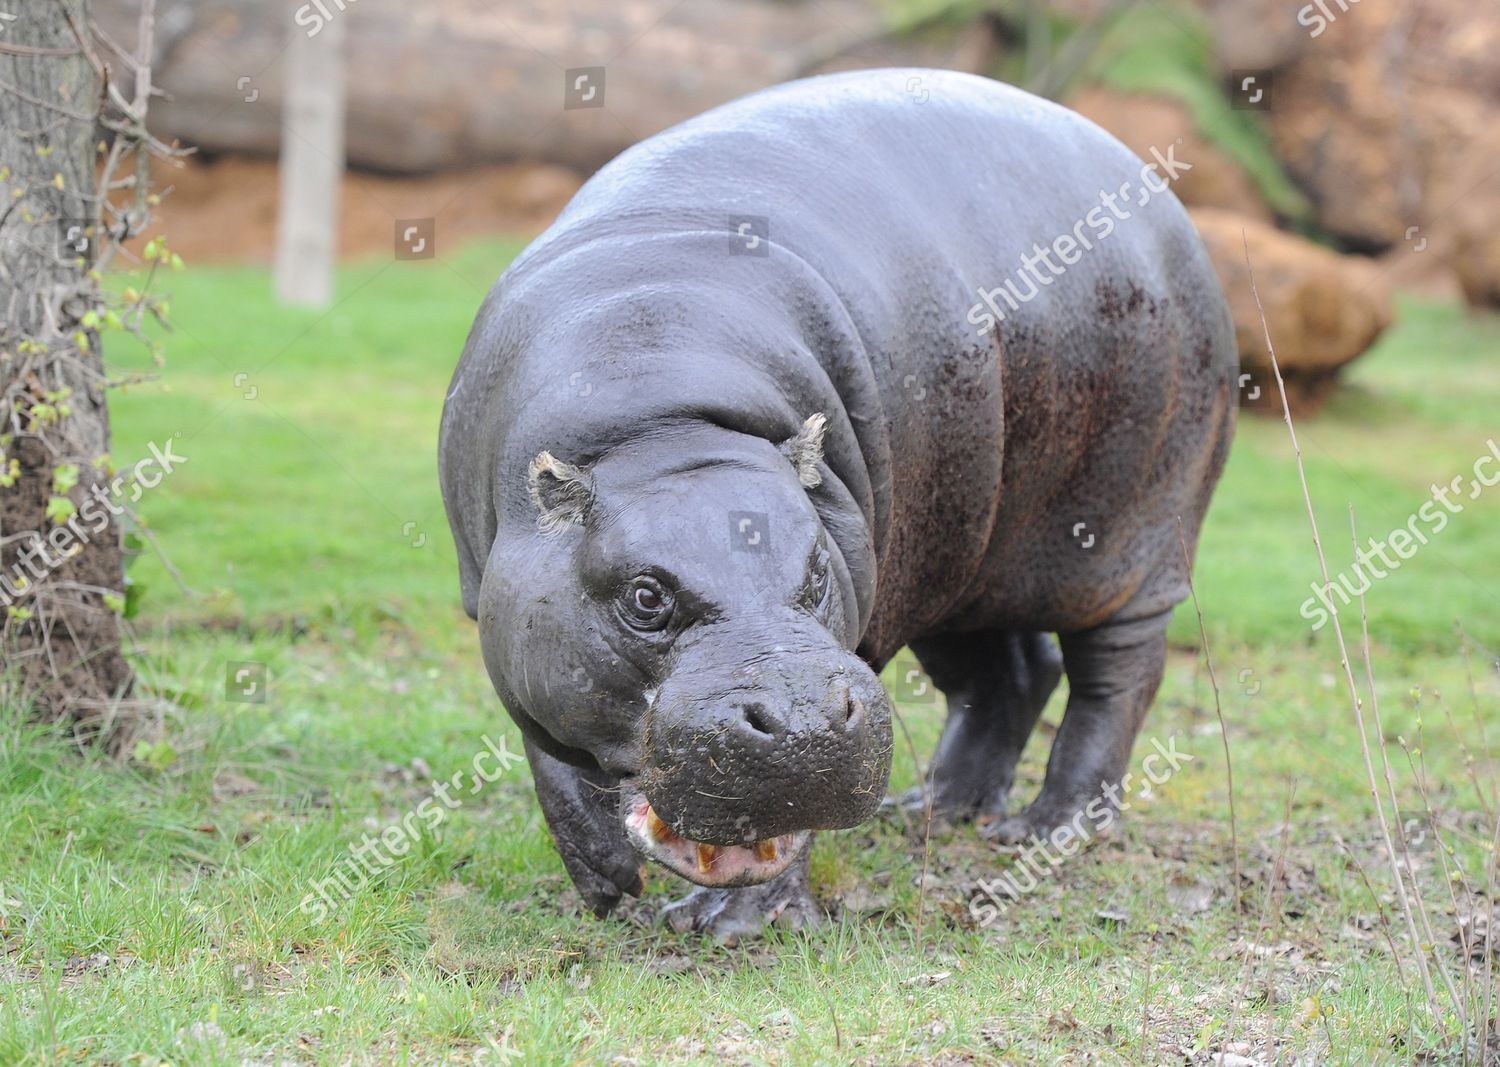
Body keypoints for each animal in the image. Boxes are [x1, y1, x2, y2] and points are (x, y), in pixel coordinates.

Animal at [439, 68, 1236, 940]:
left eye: (817, 568)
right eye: (645, 597)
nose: (805, 722)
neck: (653, 408)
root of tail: (1165, 202)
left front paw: (740, 923)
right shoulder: (506, 602)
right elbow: (547, 749)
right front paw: (605, 882)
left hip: (1122, 541)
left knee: (1115, 677)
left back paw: (1045, 828)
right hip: (956, 552)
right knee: (1011, 672)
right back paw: (934, 806)